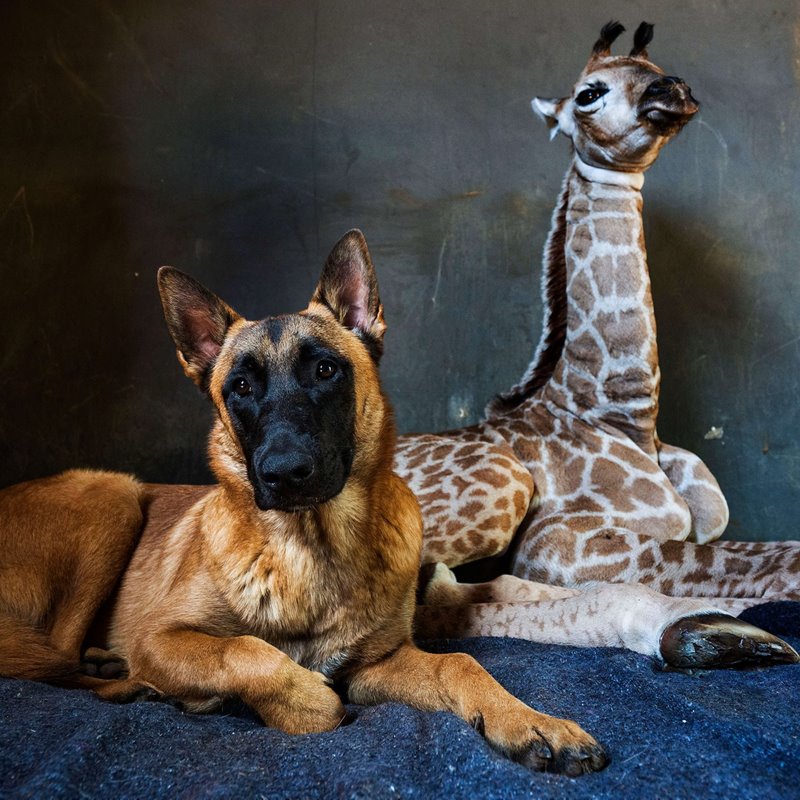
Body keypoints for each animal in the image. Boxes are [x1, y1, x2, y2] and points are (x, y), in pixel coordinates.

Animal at [396, 22, 800, 668]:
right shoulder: (558, 538)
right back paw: (703, 629)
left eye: (658, 67)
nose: (673, 90)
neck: (623, 415)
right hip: (499, 485)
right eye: (590, 93)